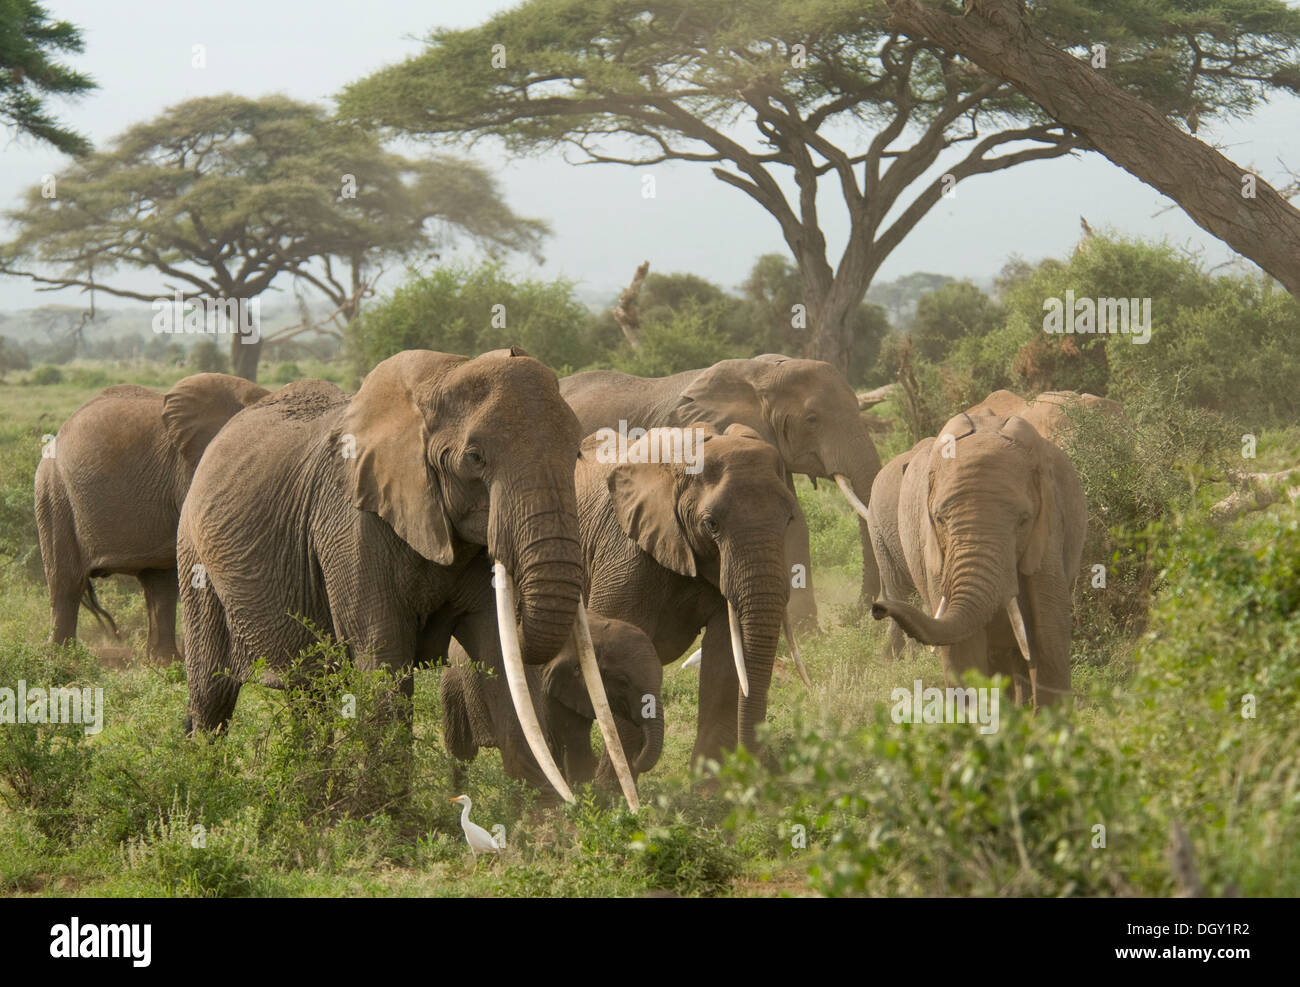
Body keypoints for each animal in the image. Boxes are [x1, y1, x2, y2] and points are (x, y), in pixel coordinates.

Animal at [34, 373, 269, 661]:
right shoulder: (189, 470)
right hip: (54, 495)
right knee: (66, 581)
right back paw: (61, 657)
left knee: (159, 583)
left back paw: (165, 662)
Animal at [176, 349, 636, 808]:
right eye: (475, 458)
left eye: (574, 456)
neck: (441, 378)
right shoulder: (350, 524)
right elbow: (383, 650)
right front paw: (382, 818)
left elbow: (497, 653)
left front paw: (543, 816)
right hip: (193, 560)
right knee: (213, 692)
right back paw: (205, 790)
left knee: (309, 693)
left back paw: (309, 798)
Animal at [441, 612, 663, 792]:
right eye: (623, 681)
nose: (635, 760)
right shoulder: (548, 687)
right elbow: (572, 743)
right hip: (454, 685)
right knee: (461, 750)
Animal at [869, 409, 1087, 706]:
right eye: (940, 519)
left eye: (1024, 520)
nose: (877, 608)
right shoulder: (934, 552)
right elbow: (964, 654)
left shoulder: (1049, 530)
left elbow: (1049, 635)